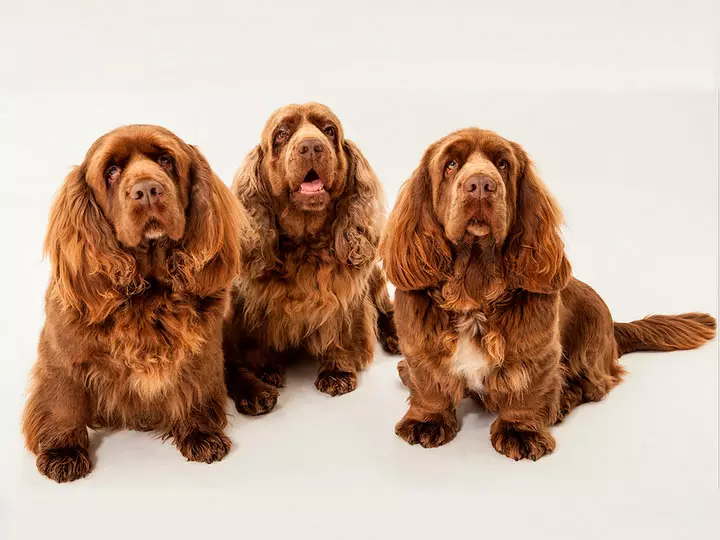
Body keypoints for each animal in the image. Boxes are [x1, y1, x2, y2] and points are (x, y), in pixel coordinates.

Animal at [23, 125, 248, 480]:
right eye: (111, 171)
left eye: (167, 160)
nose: (147, 190)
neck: (148, 292)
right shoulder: (62, 356)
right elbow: (62, 402)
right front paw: (63, 452)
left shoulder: (204, 349)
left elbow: (197, 389)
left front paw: (200, 434)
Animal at [224, 102, 400, 414]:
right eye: (281, 133)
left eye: (329, 130)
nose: (311, 147)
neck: (304, 243)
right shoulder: (250, 306)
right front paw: (265, 371)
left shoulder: (347, 300)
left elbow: (342, 333)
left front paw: (337, 371)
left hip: (375, 278)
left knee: (386, 308)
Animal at [380, 127, 716, 460]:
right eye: (450, 165)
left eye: (503, 164)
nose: (481, 186)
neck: (475, 286)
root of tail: (613, 325)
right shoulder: (421, 343)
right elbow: (430, 383)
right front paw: (426, 420)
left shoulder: (537, 350)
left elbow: (527, 388)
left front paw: (521, 431)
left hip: (589, 347)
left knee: (589, 385)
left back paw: (561, 401)